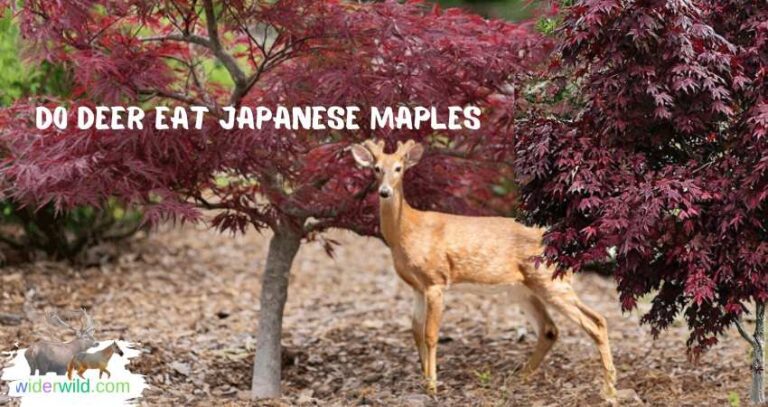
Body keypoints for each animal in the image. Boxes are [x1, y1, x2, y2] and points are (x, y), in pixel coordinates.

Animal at [349, 139, 617, 398]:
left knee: (596, 321)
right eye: (376, 169)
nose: (384, 192)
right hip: (522, 289)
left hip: (550, 280)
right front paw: (424, 380)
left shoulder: (436, 280)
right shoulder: (417, 286)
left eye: (399, 168)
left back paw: (610, 389)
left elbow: (430, 334)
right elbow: (415, 331)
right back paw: (520, 378)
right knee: (551, 329)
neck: (406, 231)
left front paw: (433, 386)